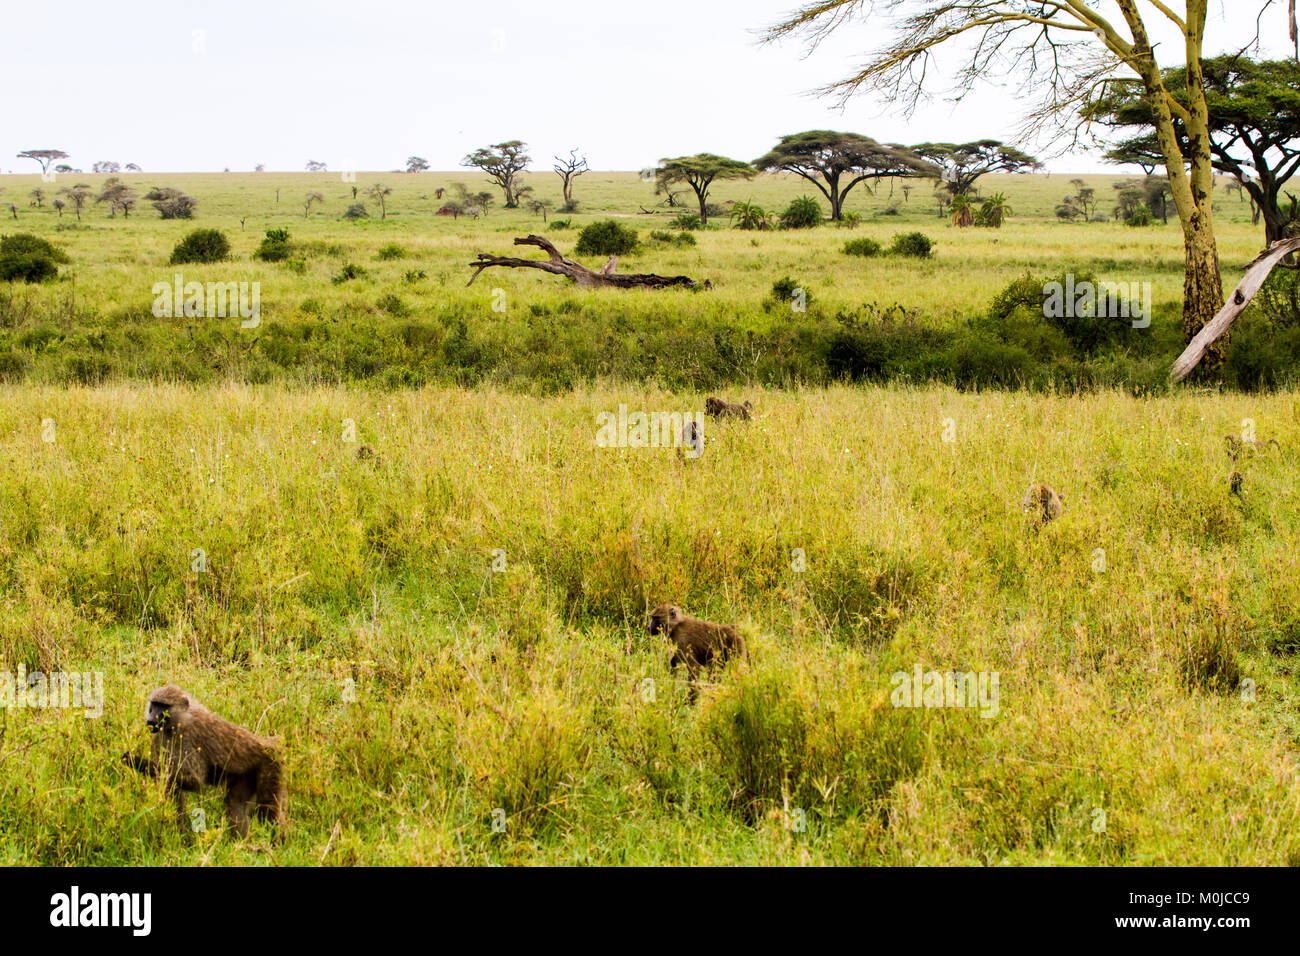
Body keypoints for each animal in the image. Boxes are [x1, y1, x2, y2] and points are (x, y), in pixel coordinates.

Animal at [122, 685, 287, 840]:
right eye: (154, 704)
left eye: (163, 706)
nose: (151, 720)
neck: (179, 721)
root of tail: (269, 745)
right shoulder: (159, 737)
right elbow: (175, 792)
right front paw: (180, 837)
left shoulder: (187, 738)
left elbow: (194, 780)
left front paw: (133, 759)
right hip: (247, 775)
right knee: (235, 804)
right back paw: (241, 844)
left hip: (270, 764)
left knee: (268, 813)